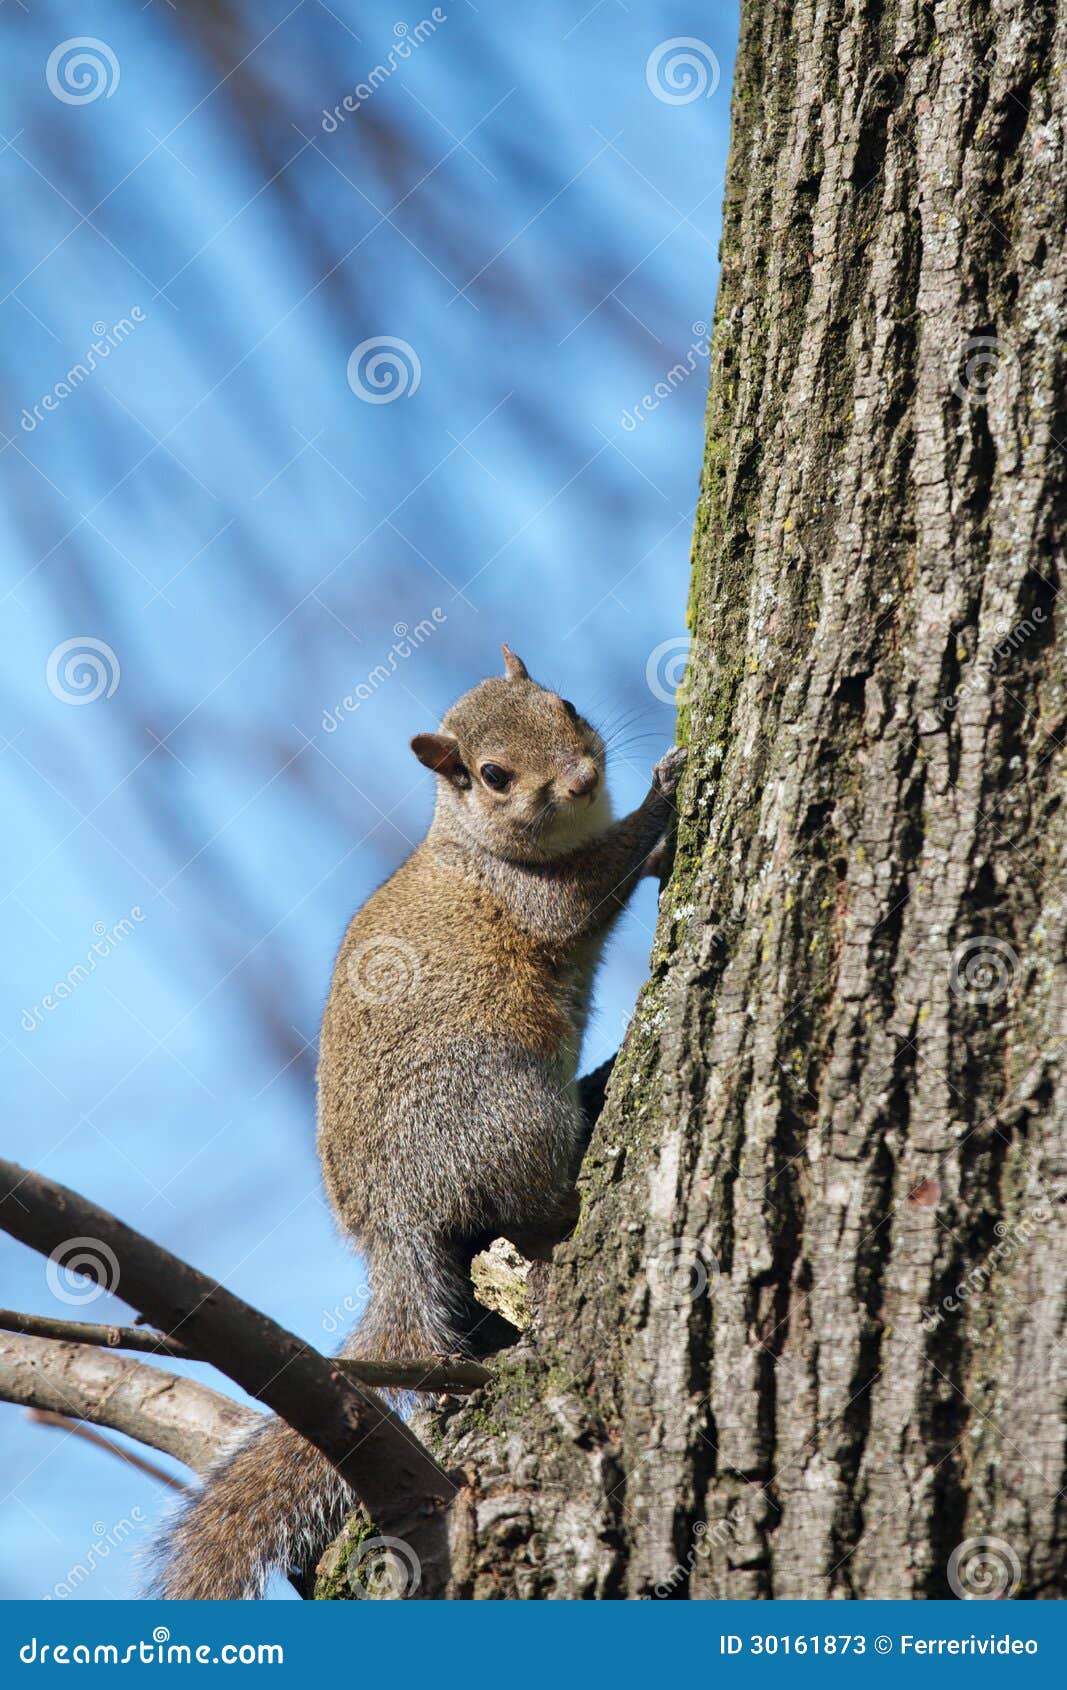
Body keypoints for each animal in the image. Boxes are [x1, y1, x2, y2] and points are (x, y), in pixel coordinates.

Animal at [153, 645, 685, 1599]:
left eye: (564, 703)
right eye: (493, 775)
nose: (582, 776)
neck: (473, 841)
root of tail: (393, 1227)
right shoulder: (537, 894)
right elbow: (587, 890)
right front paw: (665, 793)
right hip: (505, 1107)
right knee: (533, 1200)